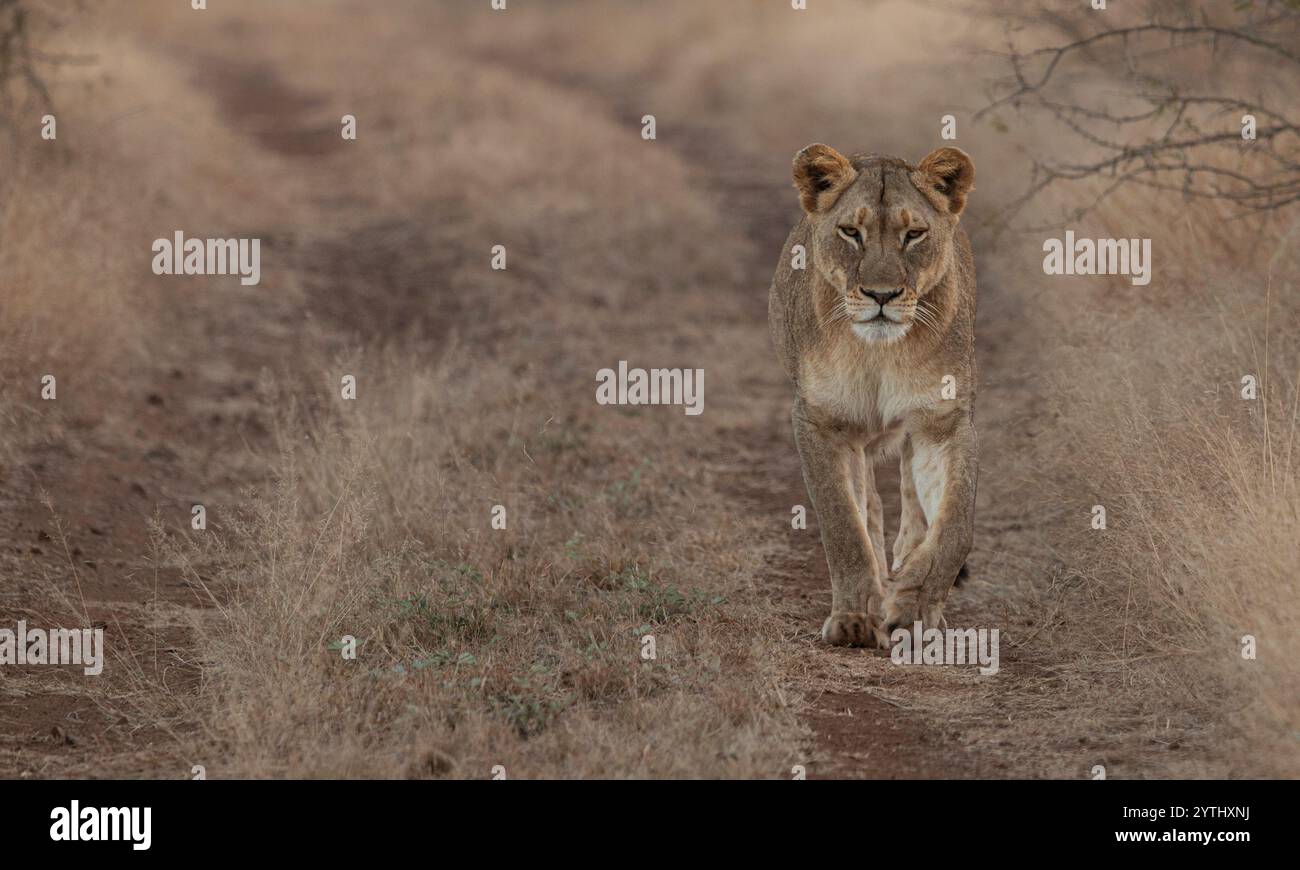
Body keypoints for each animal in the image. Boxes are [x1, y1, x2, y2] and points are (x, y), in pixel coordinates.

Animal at [768, 143, 978, 648]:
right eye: (851, 232)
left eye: (914, 235)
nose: (881, 295)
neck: (878, 354)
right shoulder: (821, 421)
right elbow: (844, 523)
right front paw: (857, 618)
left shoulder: (944, 420)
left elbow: (955, 526)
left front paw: (916, 607)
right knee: (869, 502)